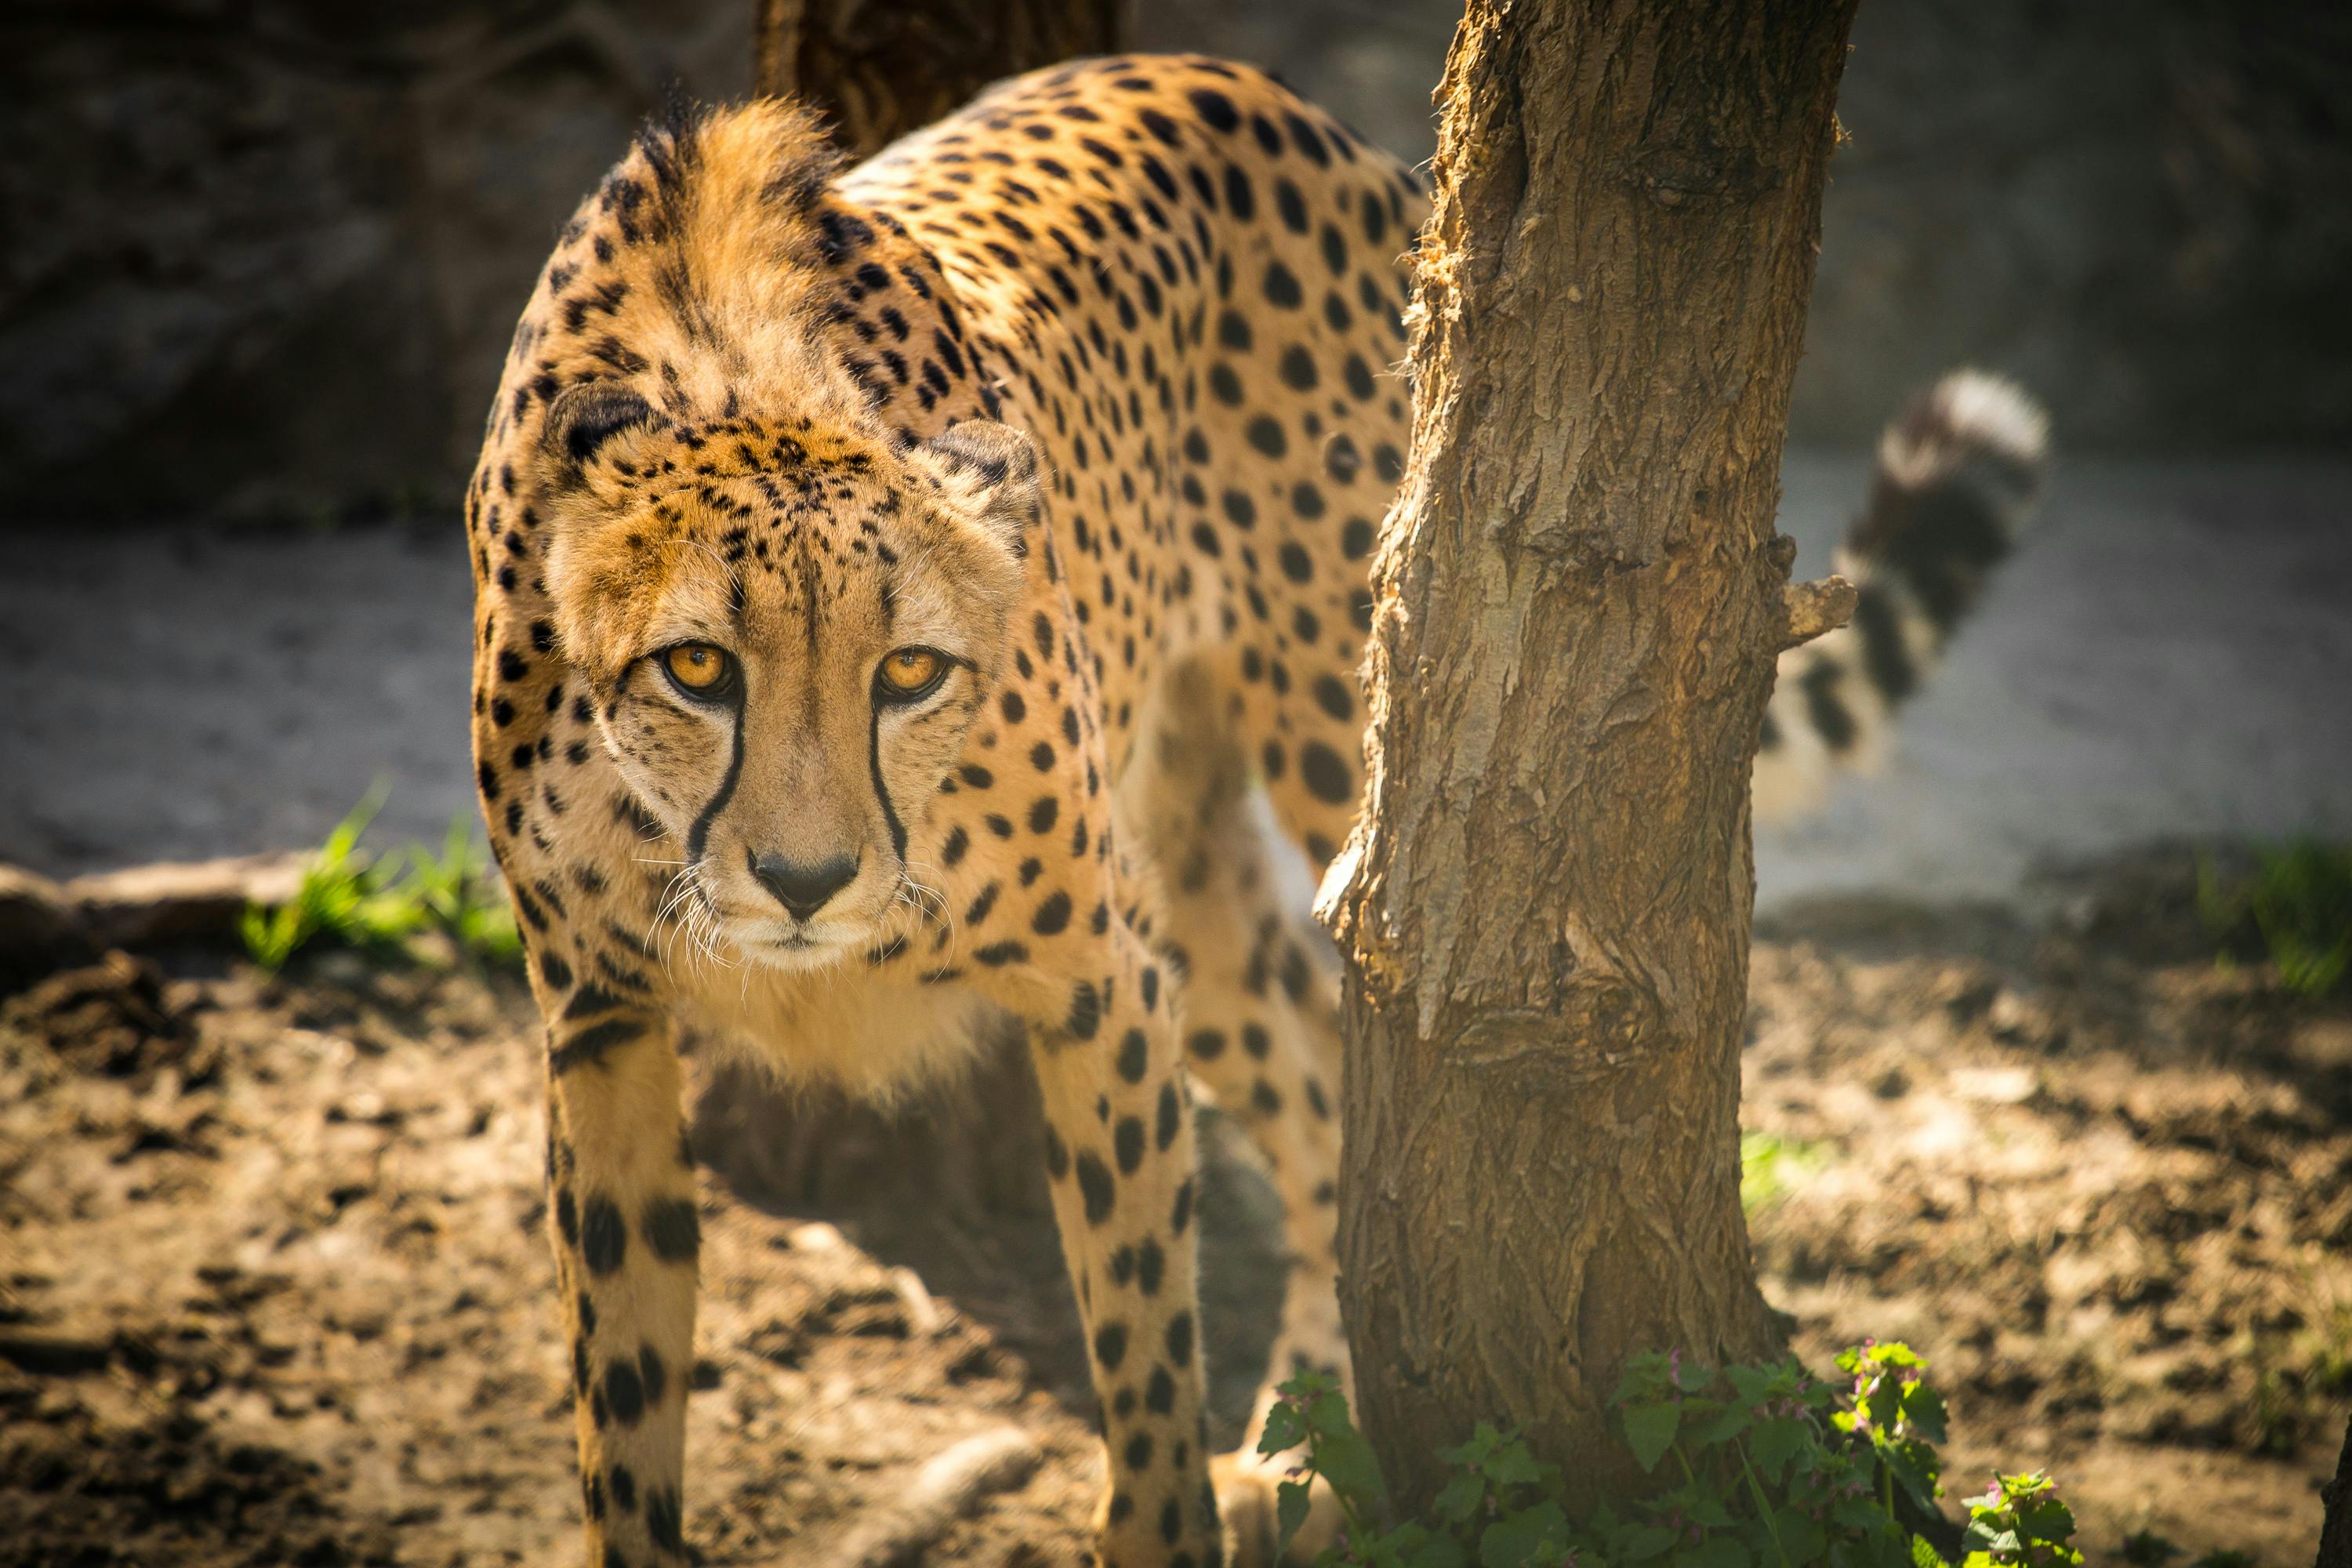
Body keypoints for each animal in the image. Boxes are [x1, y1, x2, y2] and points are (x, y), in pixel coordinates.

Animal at [463, 51, 2048, 1568]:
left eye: (909, 670)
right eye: (698, 668)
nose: (805, 882)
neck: (736, 368)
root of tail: (1243, 84)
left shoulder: (1096, 983)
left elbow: (1143, 1345)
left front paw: (1172, 1515)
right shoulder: (600, 1028)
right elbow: (625, 1406)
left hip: (1369, 756)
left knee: (1372, 1059)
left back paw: (1305, 1452)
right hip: (1196, 898)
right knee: (1305, 1070)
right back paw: (1306, 1434)